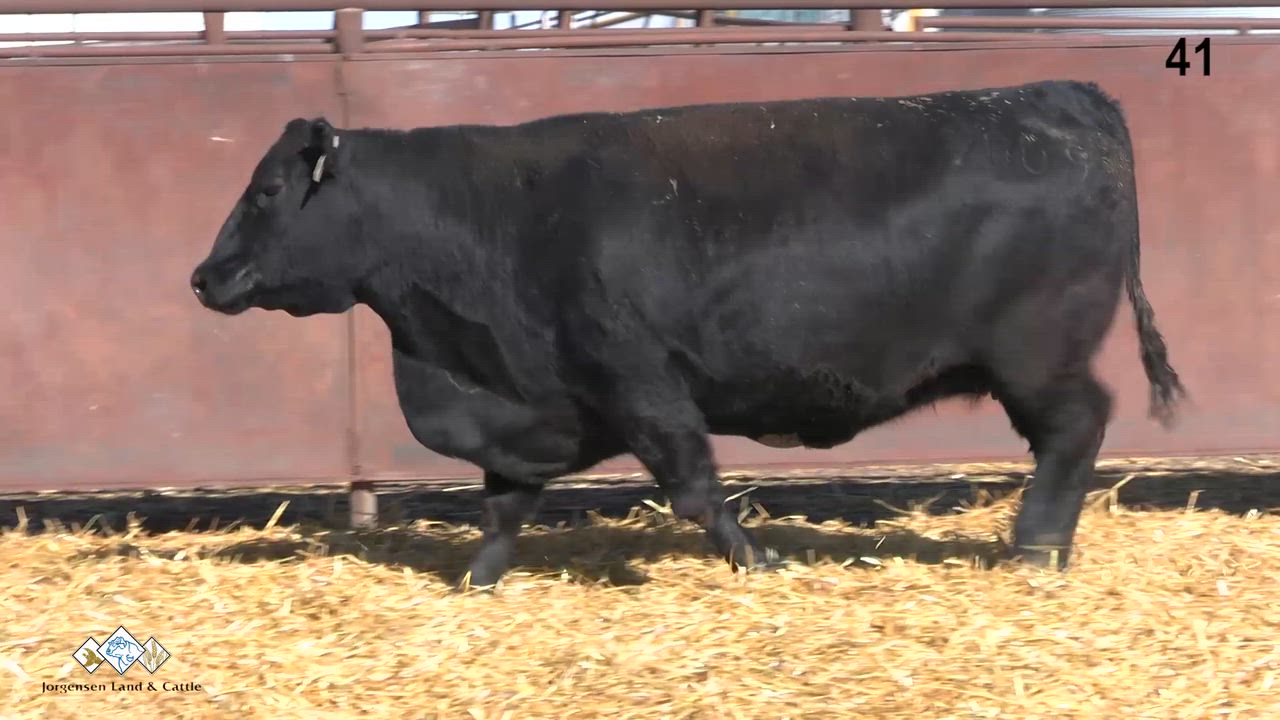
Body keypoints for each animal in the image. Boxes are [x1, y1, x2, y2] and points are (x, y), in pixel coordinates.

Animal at [190, 79, 1185, 589]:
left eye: (267, 191)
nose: (205, 277)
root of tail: (1062, 96)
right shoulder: (529, 405)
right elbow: (504, 506)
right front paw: (476, 581)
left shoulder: (644, 386)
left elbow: (697, 489)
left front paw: (761, 559)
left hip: (1037, 359)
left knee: (1076, 429)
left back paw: (1036, 548)